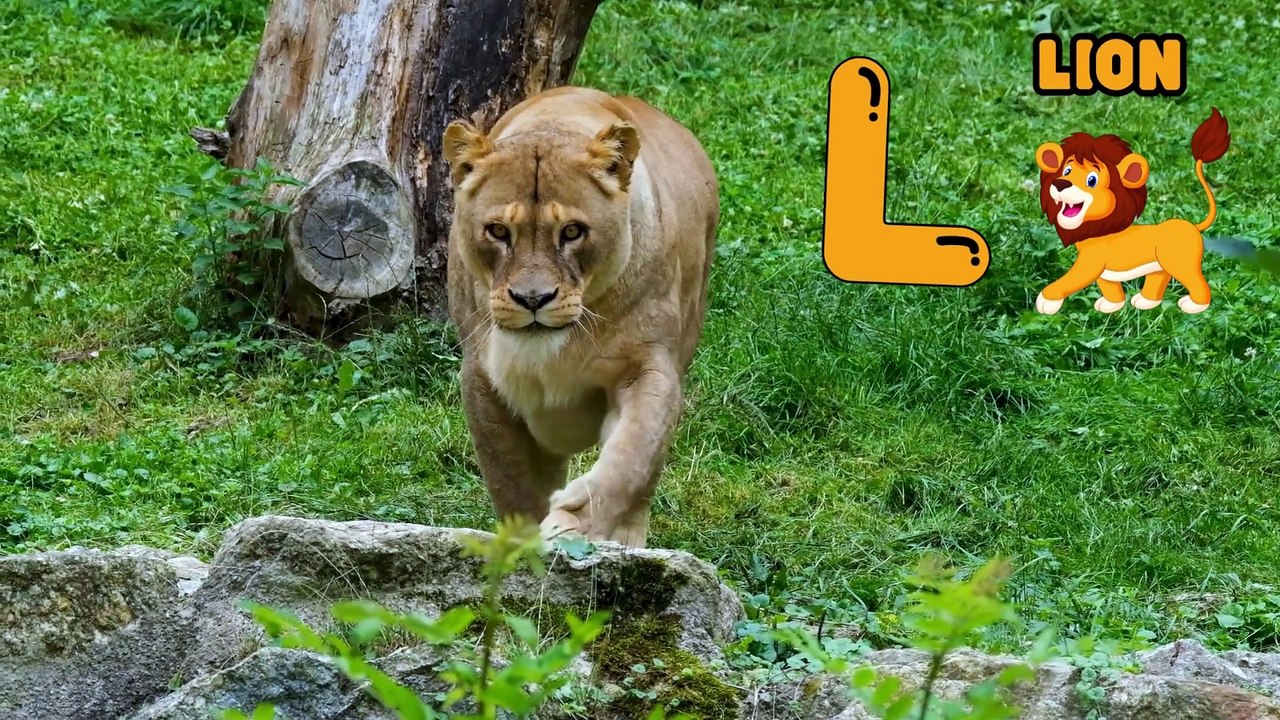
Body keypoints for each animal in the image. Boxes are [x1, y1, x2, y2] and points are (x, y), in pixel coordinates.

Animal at [441, 86, 718, 548]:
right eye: (498, 231)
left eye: (572, 231)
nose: (532, 298)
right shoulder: (482, 381)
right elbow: (512, 483)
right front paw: (524, 545)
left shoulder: (646, 367)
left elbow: (631, 458)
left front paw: (574, 524)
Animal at [1034, 108, 1230, 315]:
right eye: (1067, 171)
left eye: (1092, 180)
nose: (1060, 183)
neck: (1100, 229)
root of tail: (1192, 225)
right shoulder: (1104, 273)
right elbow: (1110, 289)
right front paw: (1110, 306)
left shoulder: (1090, 263)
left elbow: (1070, 280)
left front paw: (1046, 301)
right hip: (1159, 267)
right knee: (1157, 281)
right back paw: (1145, 302)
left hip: (1181, 264)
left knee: (1196, 282)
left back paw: (1193, 305)